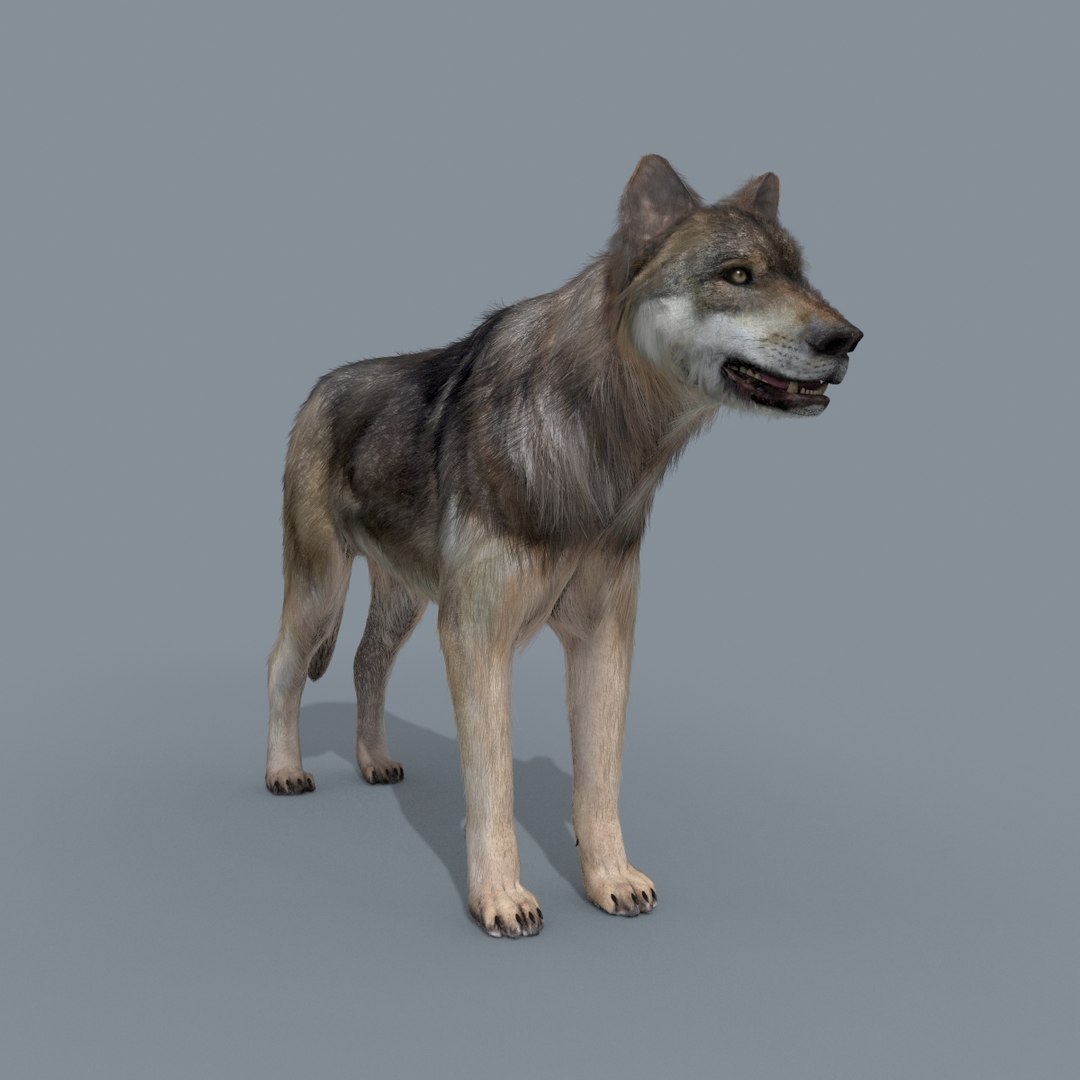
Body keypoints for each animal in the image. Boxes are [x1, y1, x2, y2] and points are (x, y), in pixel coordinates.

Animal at [266, 155, 862, 938]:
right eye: (738, 275)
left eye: (798, 276)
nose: (849, 340)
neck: (592, 445)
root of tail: (318, 386)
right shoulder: (475, 636)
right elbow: (493, 786)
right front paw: (501, 897)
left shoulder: (604, 636)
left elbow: (600, 779)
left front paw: (610, 879)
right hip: (320, 588)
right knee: (283, 667)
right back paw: (283, 771)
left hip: (402, 602)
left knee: (367, 663)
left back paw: (376, 763)